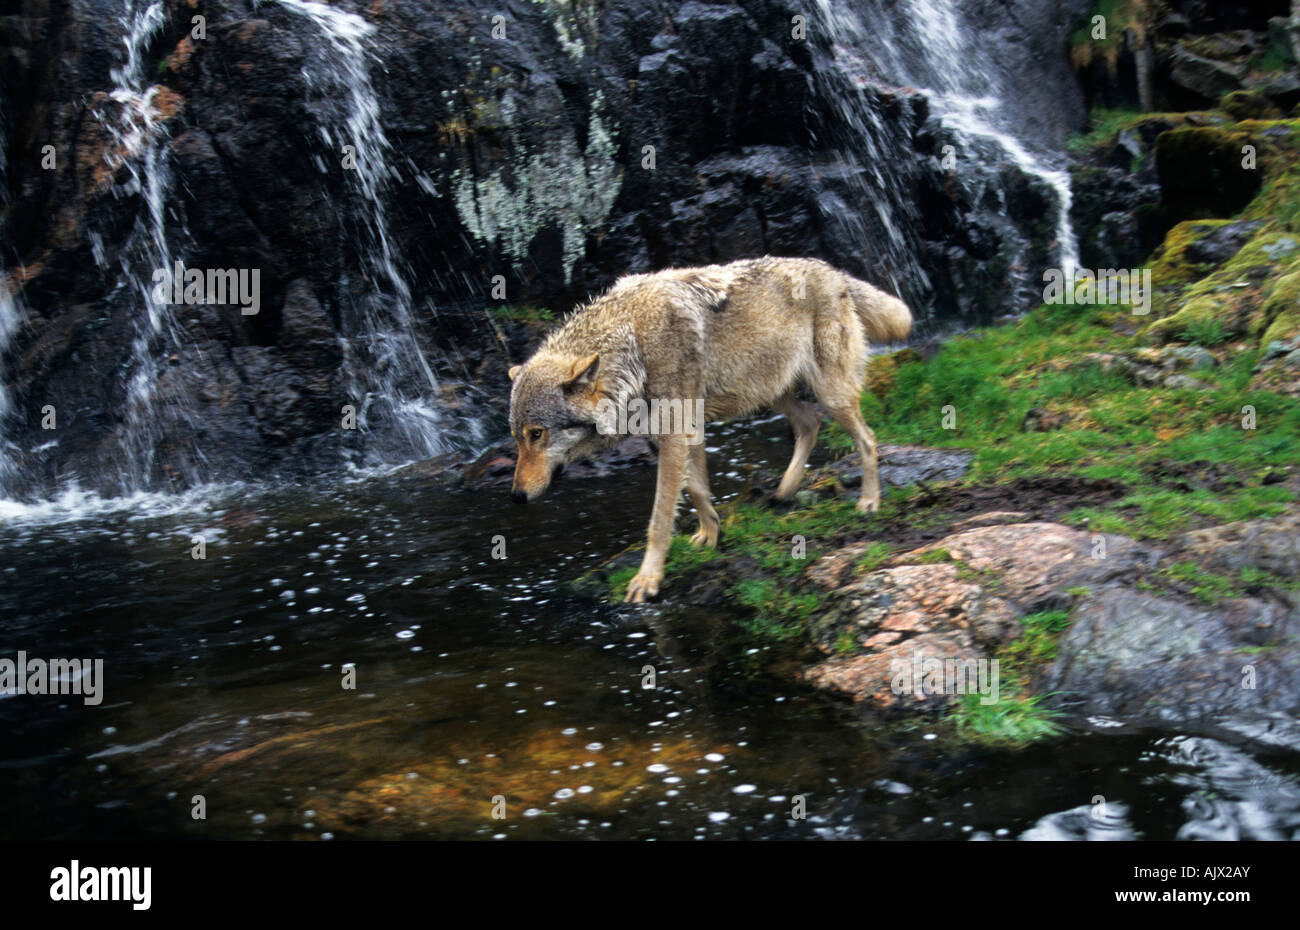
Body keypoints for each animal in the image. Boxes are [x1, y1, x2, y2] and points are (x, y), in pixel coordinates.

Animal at [507, 256, 913, 603]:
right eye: (517, 438)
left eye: (537, 434)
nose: (516, 497)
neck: (631, 348)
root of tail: (833, 271)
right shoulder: (683, 432)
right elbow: (695, 489)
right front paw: (711, 533)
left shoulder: (674, 434)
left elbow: (660, 518)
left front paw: (647, 580)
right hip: (769, 394)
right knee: (809, 423)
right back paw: (785, 490)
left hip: (829, 394)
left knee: (867, 439)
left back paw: (869, 501)